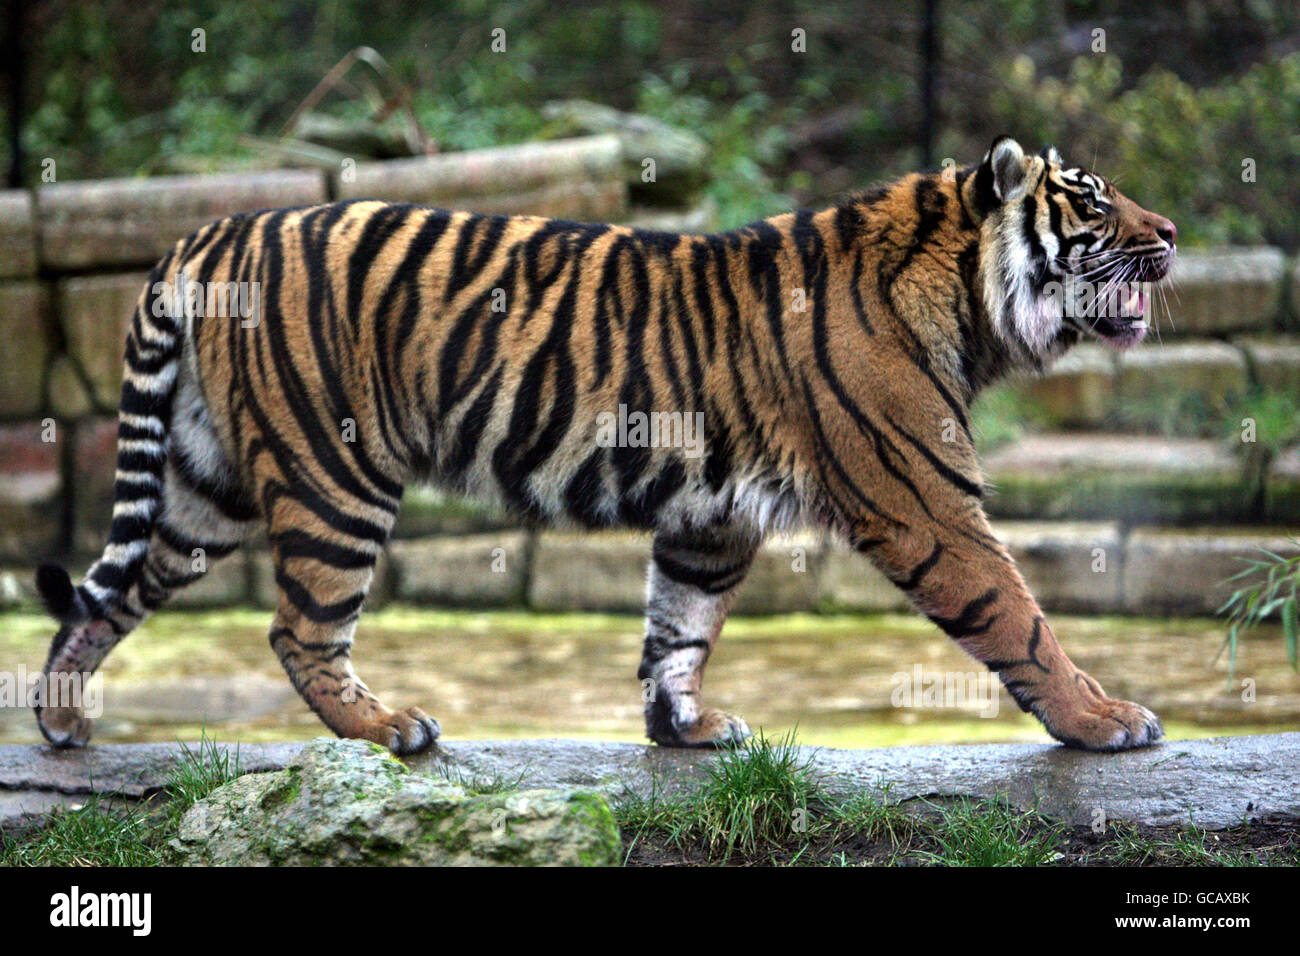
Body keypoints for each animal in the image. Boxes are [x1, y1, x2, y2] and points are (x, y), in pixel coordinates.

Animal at [33, 135, 1177, 755]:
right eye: (1091, 198)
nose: (1168, 231)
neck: (968, 304)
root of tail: (211, 229)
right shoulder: (924, 503)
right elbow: (1019, 618)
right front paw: (1106, 719)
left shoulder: (711, 519)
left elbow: (679, 626)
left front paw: (686, 730)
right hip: (333, 473)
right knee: (298, 630)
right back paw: (389, 728)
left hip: (205, 483)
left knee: (111, 593)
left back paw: (60, 720)